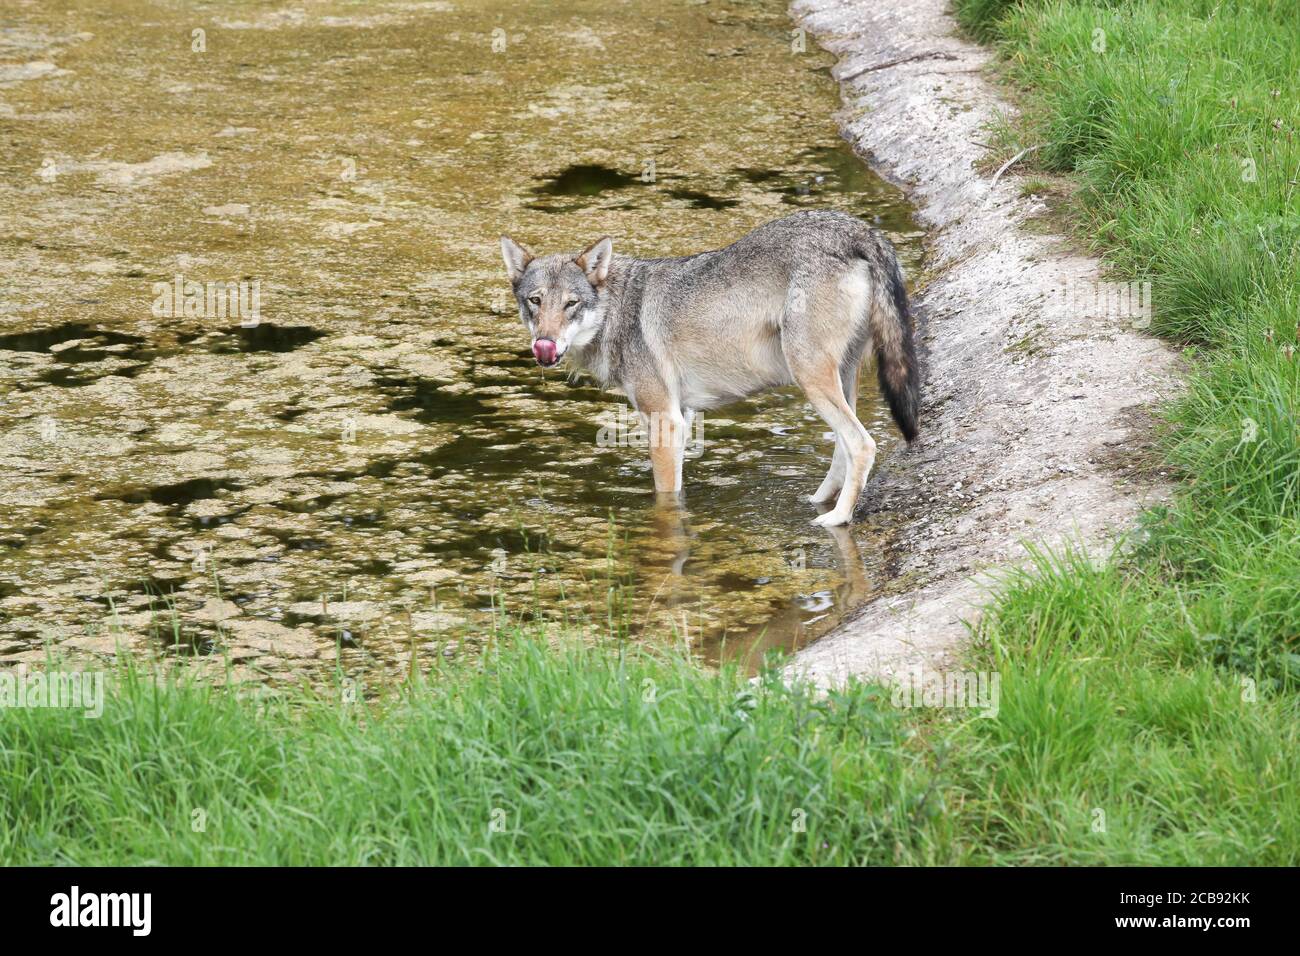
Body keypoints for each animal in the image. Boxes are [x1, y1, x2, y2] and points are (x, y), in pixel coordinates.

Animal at [498, 210, 920, 526]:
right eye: (535, 301)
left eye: (571, 303)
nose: (545, 345)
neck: (618, 310)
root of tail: (858, 229)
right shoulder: (683, 418)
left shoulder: (664, 421)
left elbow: (665, 495)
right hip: (838, 378)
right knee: (841, 448)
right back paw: (817, 500)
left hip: (811, 377)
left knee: (861, 444)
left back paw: (836, 518)